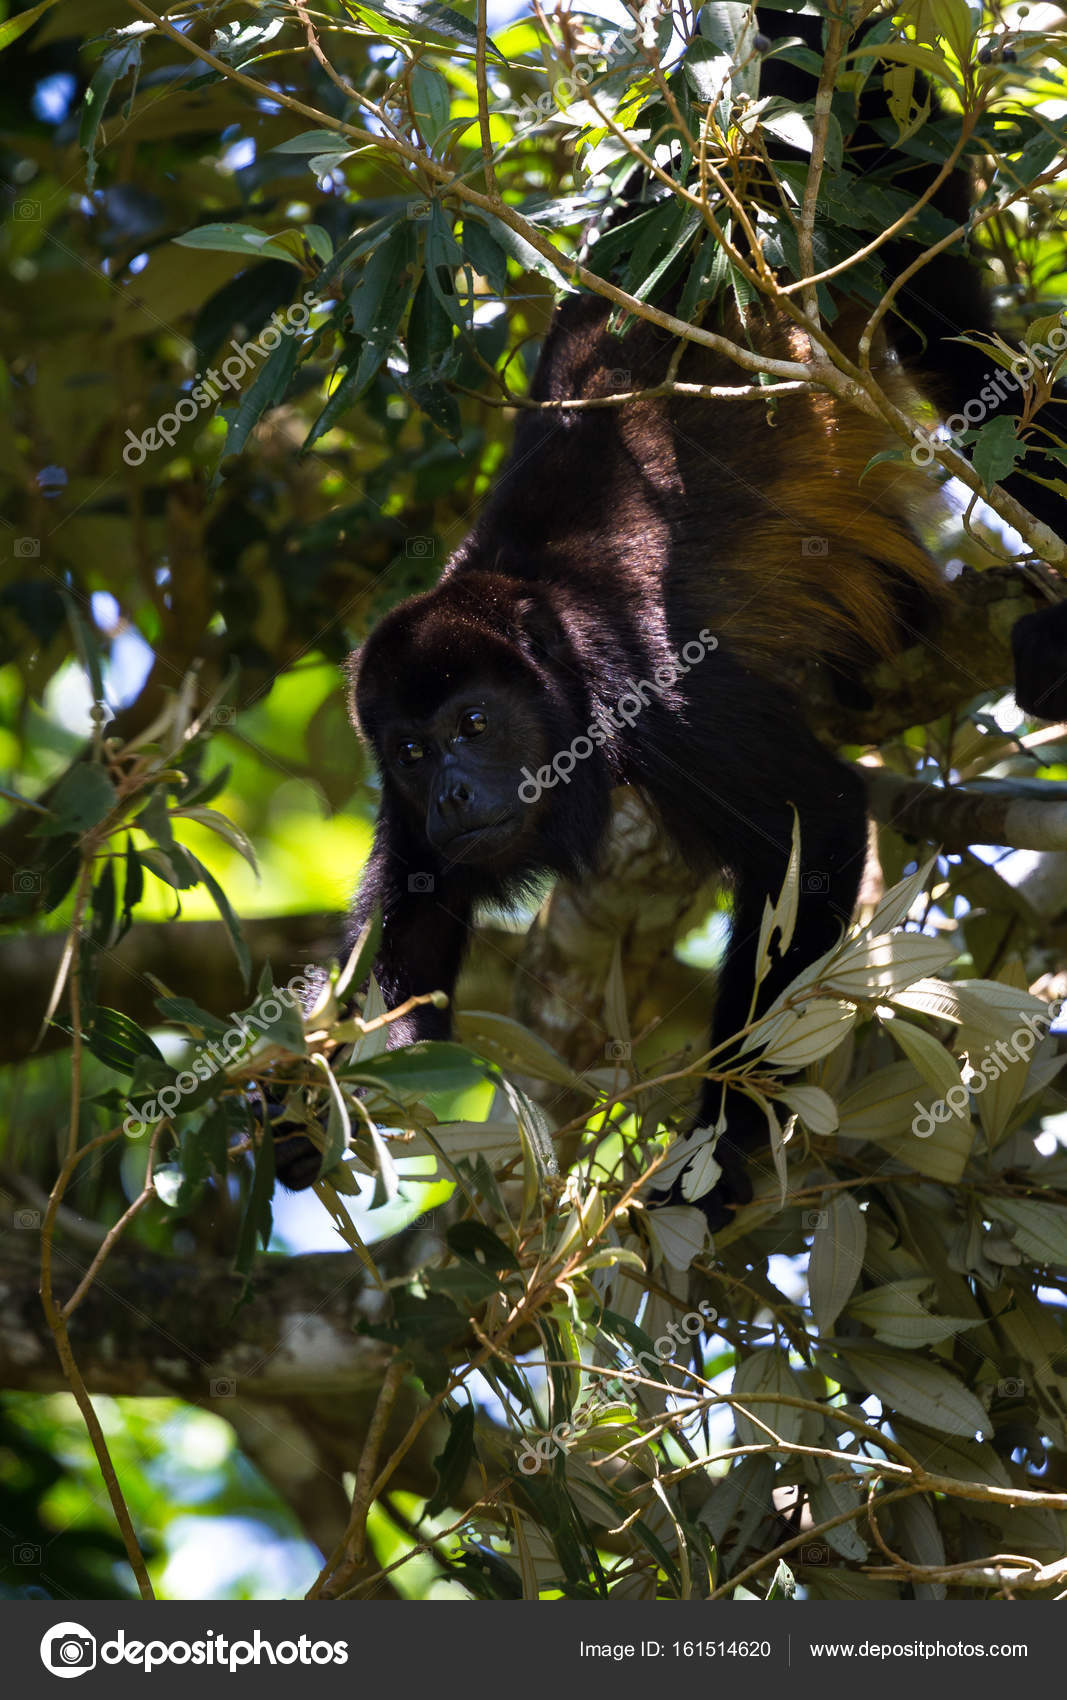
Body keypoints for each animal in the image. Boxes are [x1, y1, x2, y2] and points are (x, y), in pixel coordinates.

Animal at [271, 8, 1066, 1229]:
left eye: (472, 727)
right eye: (407, 753)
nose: (447, 794)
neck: (550, 645)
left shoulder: (658, 694)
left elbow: (811, 822)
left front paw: (721, 1140)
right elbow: (411, 920)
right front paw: (309, 1104)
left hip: (889, 147)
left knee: (976, 370)